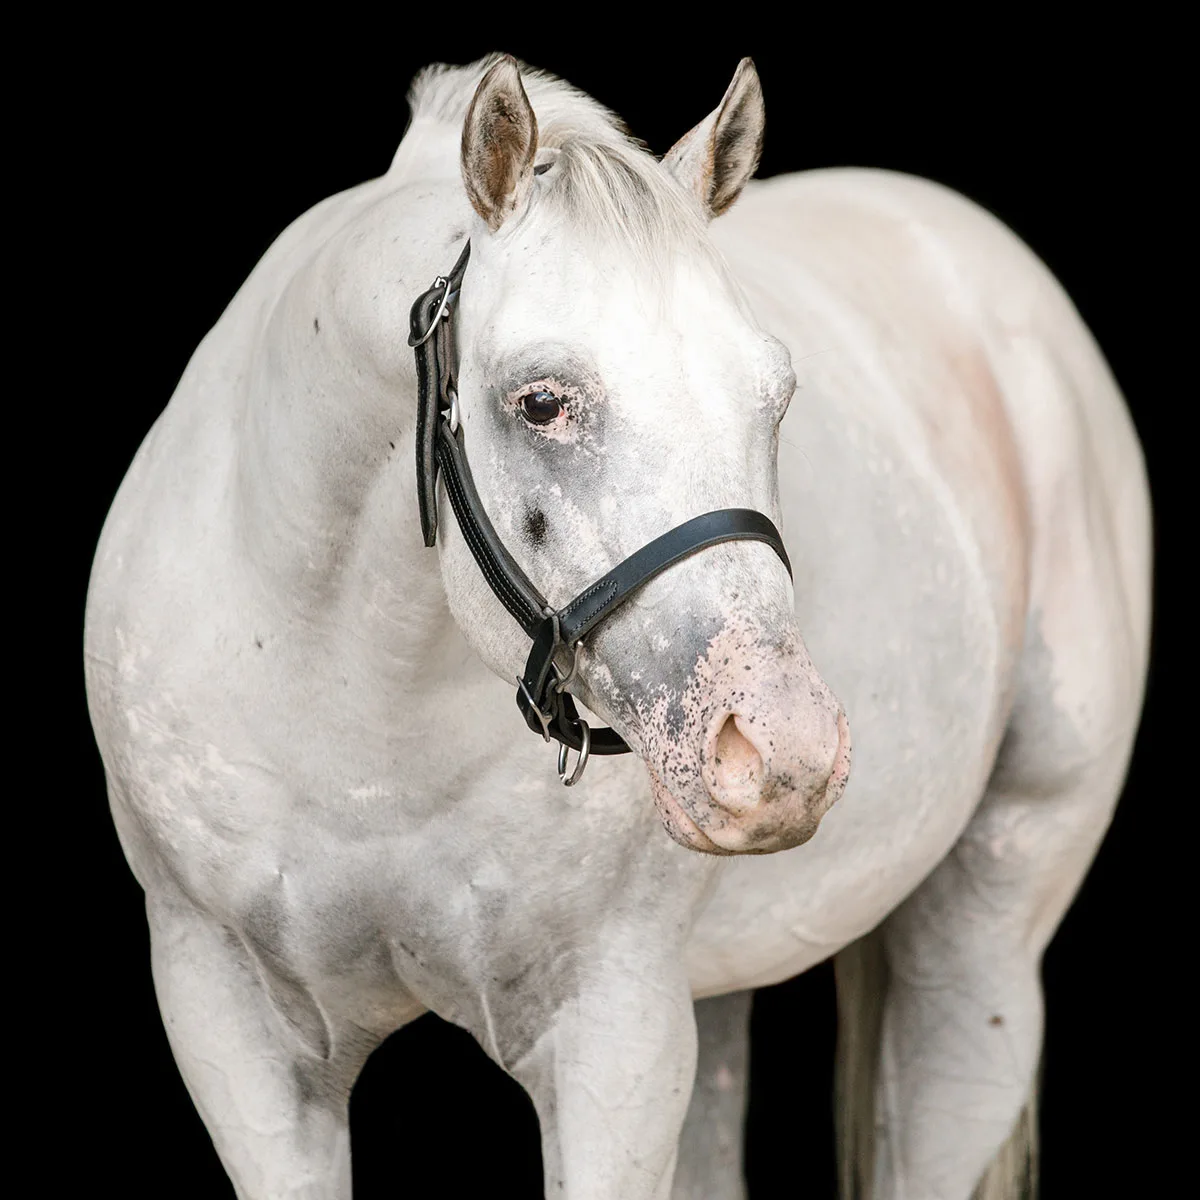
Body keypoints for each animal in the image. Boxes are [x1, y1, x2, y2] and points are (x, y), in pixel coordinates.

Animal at [83, 53, 1151, 1199]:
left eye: (777, 395)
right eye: (541, 401)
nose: (782, 751)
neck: (355, 717)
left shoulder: (612, 1038)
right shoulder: (238, 1036)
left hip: (983, 936)